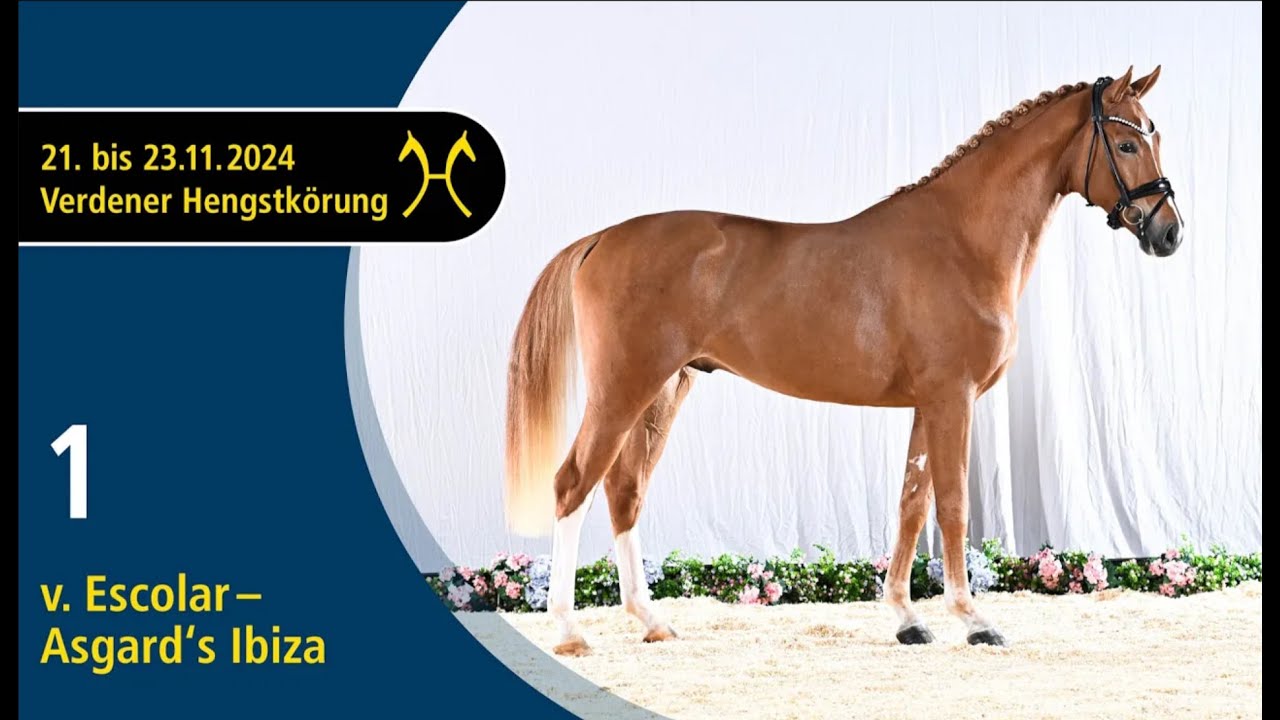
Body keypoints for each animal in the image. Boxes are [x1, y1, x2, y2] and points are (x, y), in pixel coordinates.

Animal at [503, 66, 1182, 655]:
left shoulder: (927, 404)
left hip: (665, 390)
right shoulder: (952, 397)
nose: (1169, 232)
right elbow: (952, 504)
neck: (960, 240)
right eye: (1126, 142)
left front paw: (908, 620)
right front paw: (974, 620)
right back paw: (569, 631)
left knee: (624, 490)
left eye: (1155, 135)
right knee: (573, 484)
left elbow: (912, 503)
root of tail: (599, 240)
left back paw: (652, 622)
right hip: (623, 388)